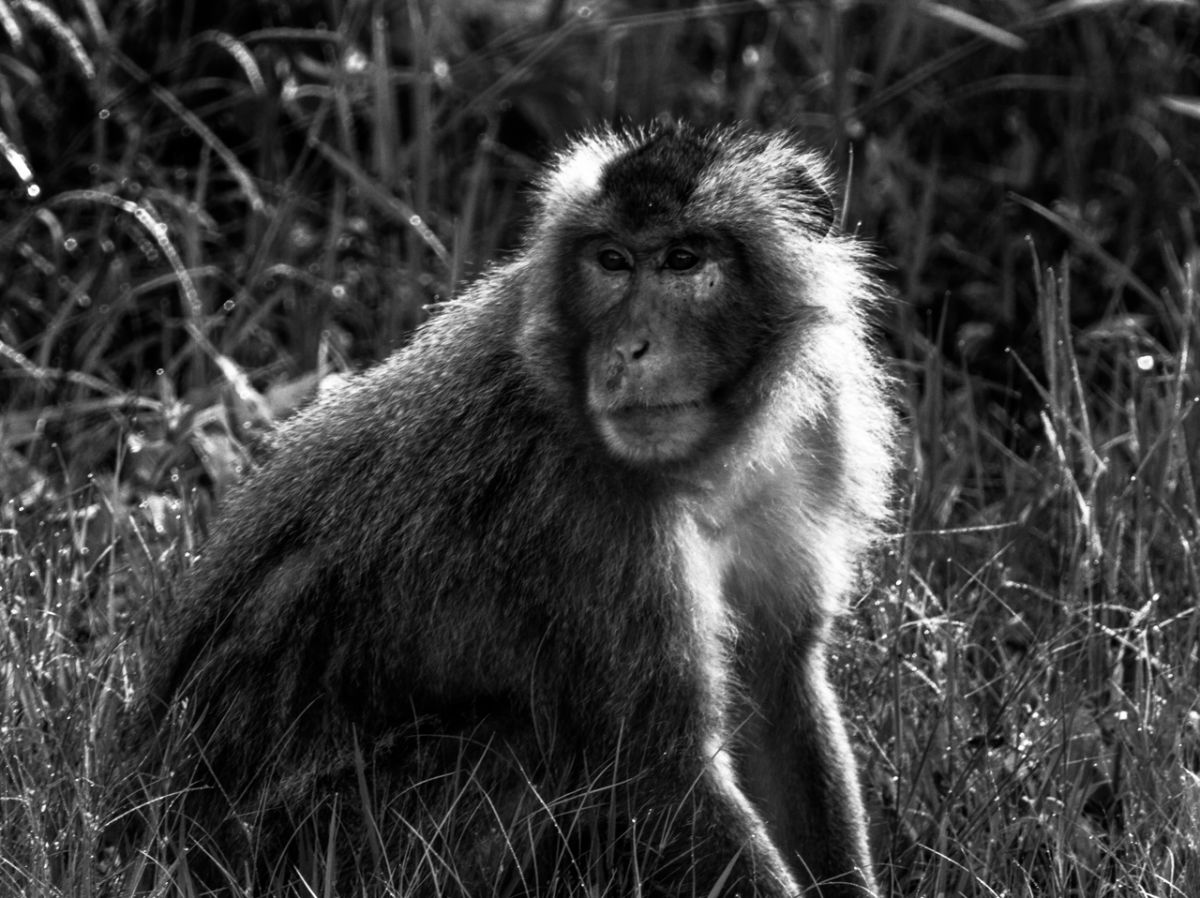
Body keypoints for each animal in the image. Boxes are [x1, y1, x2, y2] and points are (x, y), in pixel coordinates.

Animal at [122, 122, 895, 897]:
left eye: (683, 259)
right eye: (612, 261)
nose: (630, 349)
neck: (708, 457)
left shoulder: (809, 443)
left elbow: (779, 686)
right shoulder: (578, 514)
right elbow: (661, 764)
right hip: (321, 847)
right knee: (523, 747)